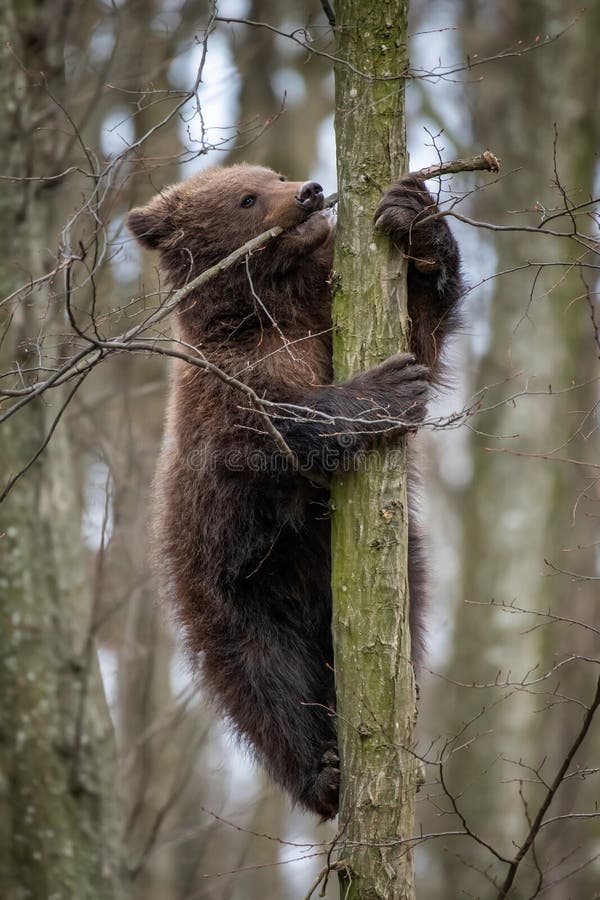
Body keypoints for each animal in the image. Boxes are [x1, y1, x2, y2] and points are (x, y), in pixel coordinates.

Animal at [127, 164, 462, 820]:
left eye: (271, 173)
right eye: (246, 197)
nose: (308, 192)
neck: (274, 307)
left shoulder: (328, 323)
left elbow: (420, 334)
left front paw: (414, 218)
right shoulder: (231, 389)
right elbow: (276, 434)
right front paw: (382, 391)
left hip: (399, 576)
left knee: (403, 629)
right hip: (230, 593)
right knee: (264, 685)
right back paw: (321, 773)